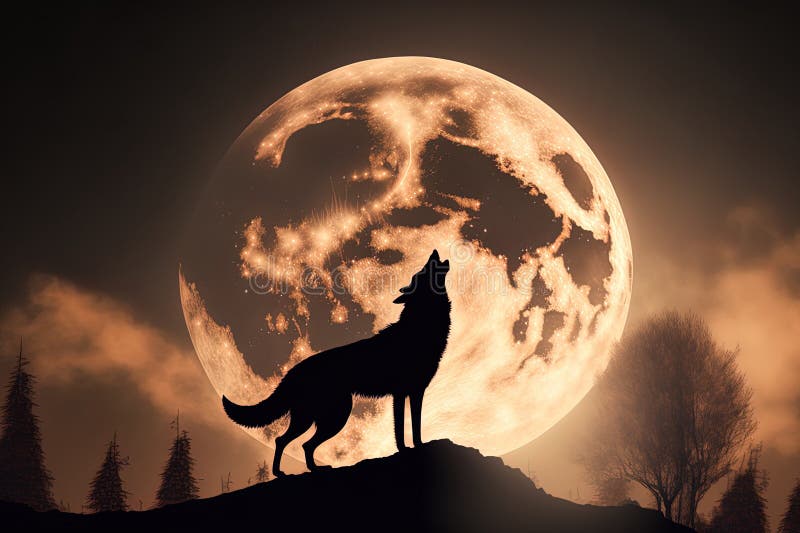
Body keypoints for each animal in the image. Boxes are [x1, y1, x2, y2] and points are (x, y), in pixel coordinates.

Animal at [222, 249, 451, 476]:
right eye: (421, 272)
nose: (434, 251)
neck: (420, 327)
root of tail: (292, 371)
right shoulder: (401, 394)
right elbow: (401, 430)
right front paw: (404, 451)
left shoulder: (416, 392)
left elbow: (416, 427)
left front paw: (419, 446)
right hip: (330, 417)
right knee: (285, 440)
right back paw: (281, 473)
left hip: (326, 418)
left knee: (302, 444)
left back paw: (313, 469)